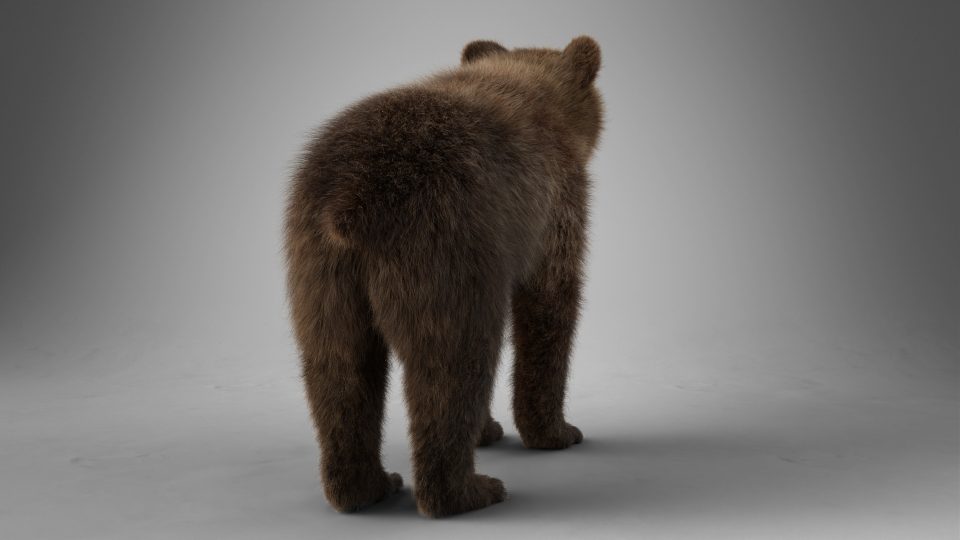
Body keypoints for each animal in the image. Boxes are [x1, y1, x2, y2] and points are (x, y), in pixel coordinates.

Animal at [283, 36, 603, 518]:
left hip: (320, 273)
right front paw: (557, 431)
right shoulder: (552, 202)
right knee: (452, 362)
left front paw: (489, 429)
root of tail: (349, 202)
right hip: (441, 249)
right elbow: (548, 304)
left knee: (339, 369)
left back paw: (369, 486)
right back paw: (468, 491)